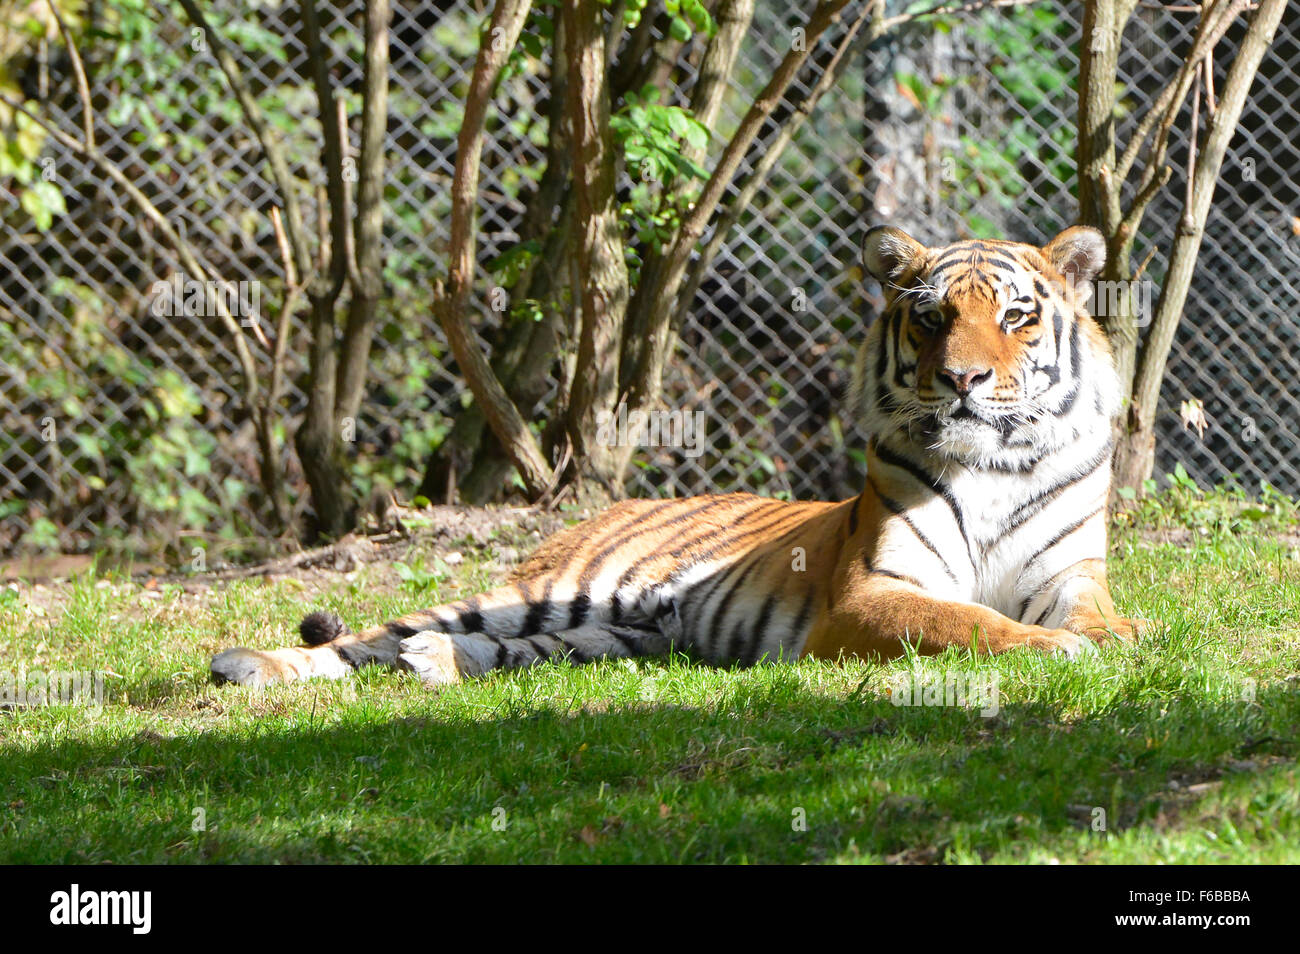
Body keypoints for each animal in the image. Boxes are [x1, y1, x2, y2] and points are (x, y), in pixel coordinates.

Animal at [210, 224, 1147, 689]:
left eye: (1018, 315)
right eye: (929, 317)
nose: (962, 379)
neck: (995, 465)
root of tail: (615, 503)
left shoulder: (1070, 572)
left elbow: (1100, 616)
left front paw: (1113, 636)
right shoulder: (874, 593)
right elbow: (962, 622)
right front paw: (1054, 651)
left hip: (615, 634)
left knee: (497, 652)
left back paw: (438, 666)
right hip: (547, 591)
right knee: (375, 635)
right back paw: (250, 665)